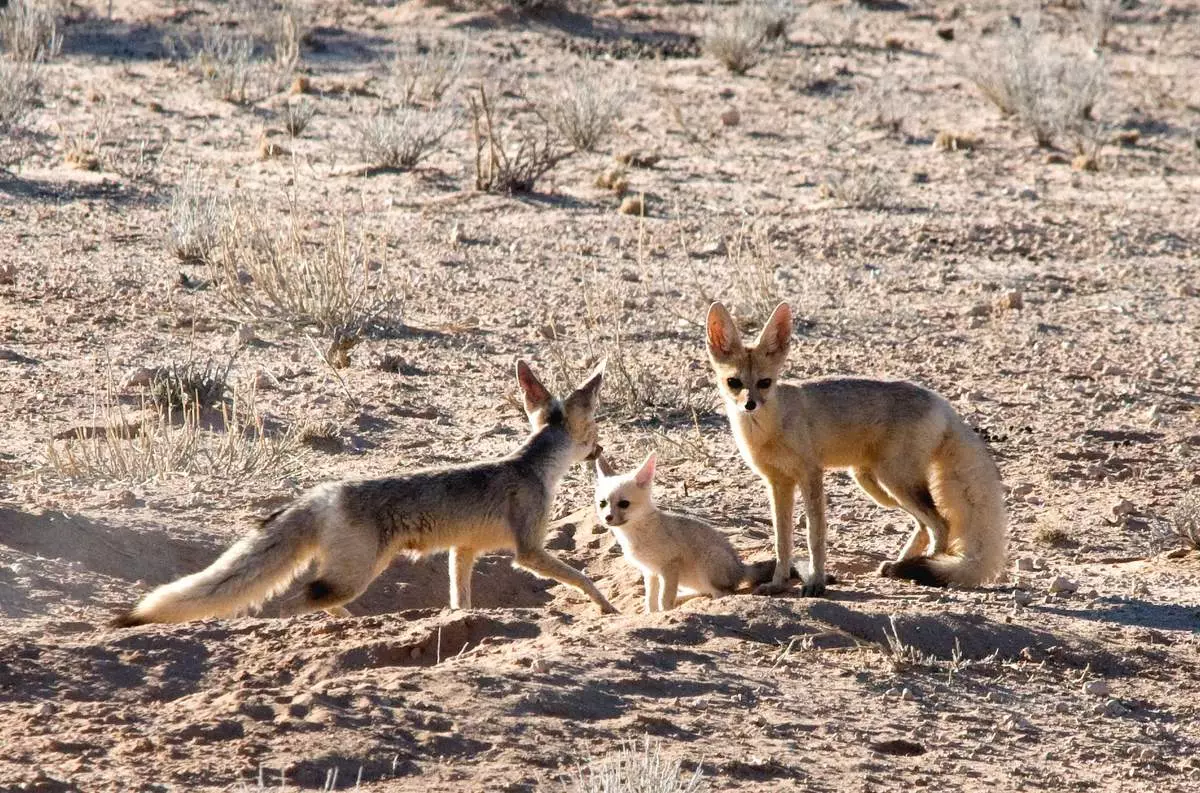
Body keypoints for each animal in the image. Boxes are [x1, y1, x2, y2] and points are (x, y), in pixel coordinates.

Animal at [111, 359, 614, 623]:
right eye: (595, 431)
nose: (601, 449)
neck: (533, 465)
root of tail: (322, 492)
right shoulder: (528, 550)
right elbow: (581, 577)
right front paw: (605, 605)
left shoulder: (463, 550)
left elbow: (460, 596)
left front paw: (460, 620)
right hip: (354, 576)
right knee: (296, 603)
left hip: (344, 575)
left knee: (309, 599)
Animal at [590, 451, 777, 611]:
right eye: (602, 503)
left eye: (624, 504)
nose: (607, 518)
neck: (635, 535)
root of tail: (741, 568)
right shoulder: (650, 572)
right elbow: (651, 601)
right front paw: (651, 614)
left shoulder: (670, 565)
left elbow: (664, 599)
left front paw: (665, 612)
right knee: (703, 591)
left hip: (707, 564)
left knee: (723, 594)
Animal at [705, 303, 1008, 595]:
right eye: (734, 383)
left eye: (765, 383)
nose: (750, 405)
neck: (770, 429)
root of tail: (943, 404)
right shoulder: (778, 483)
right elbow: (782, 541)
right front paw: (778, 583)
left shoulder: (810, 474)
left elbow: (815, 535)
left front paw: (816, 582)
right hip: (875, 485)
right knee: (924, 526)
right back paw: (902, 565)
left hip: (895, 481)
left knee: (941, 524)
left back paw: (923, 568)